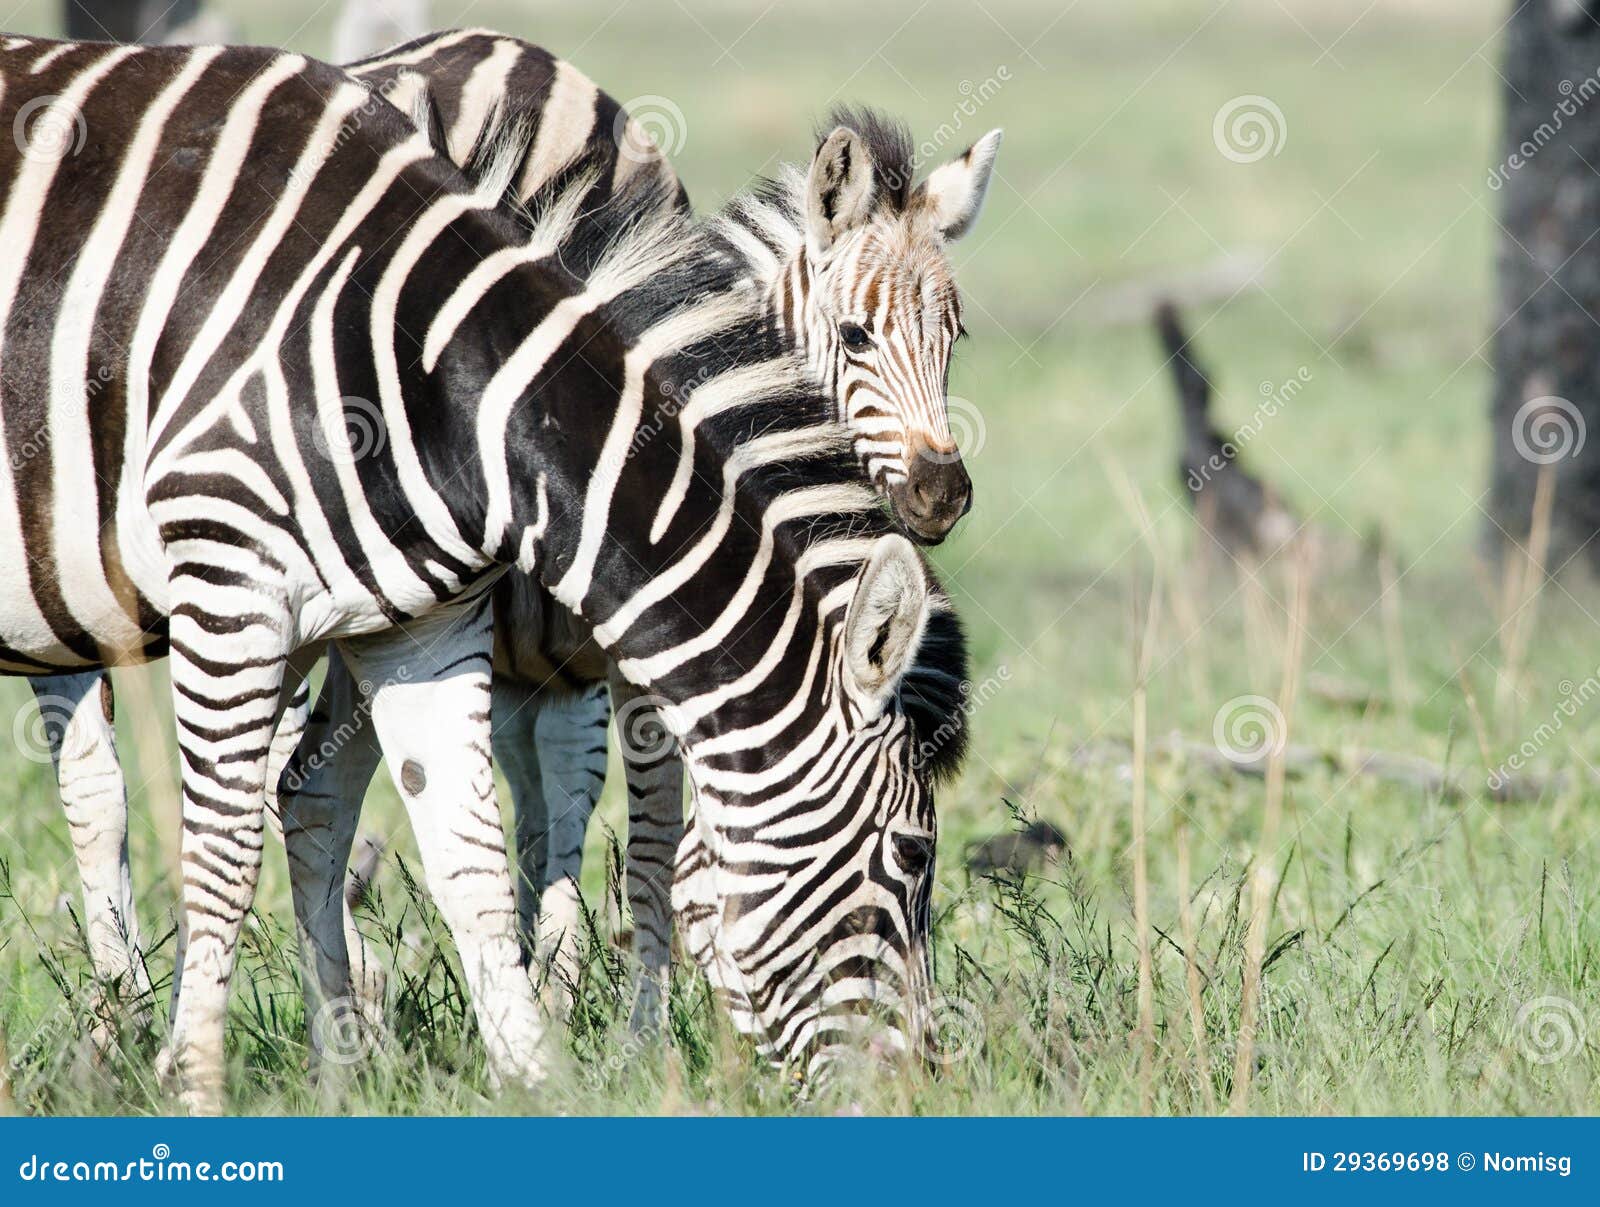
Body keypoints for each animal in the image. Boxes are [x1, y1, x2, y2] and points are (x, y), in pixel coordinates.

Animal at [0, 36, 970, 1108]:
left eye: (958, 337)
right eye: (913, 856)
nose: (943, 492)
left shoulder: (485, 646)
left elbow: (494, 847)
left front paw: (547, 1039)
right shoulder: (254, 590)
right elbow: (648, 849)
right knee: (99, 796)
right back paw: (122, 1025)